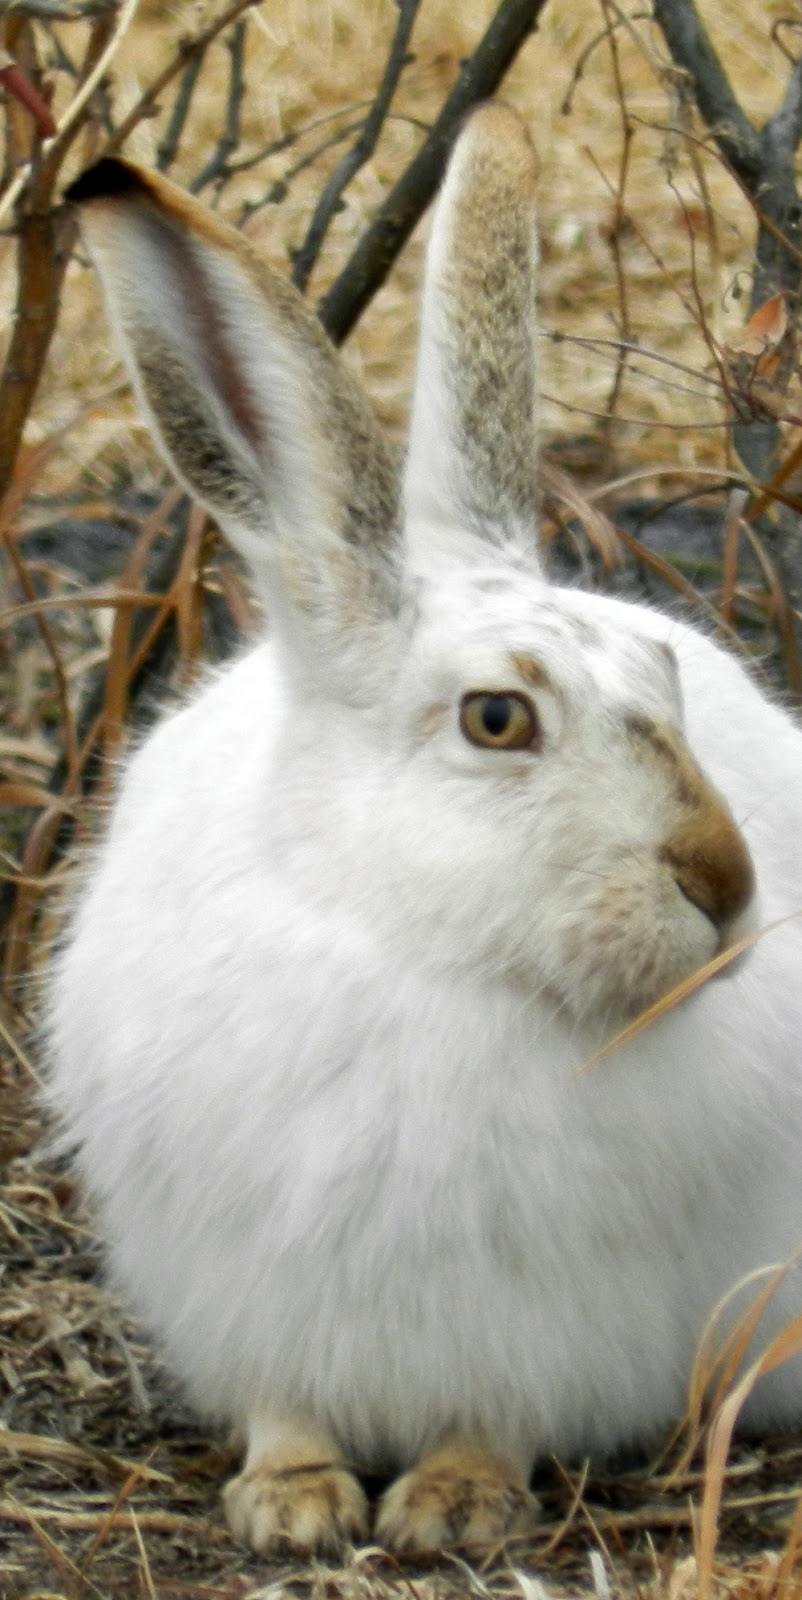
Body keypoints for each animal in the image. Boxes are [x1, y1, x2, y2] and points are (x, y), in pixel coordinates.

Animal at [48, 102, 802, 1558]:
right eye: (496, 719)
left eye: (663, 674)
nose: (725, 881)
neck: (412, 947)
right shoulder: (254, 1281)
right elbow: (284, 1400)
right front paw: (289, 1502)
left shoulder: (550, 1316)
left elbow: (494, 1412)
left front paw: (454, 1505)